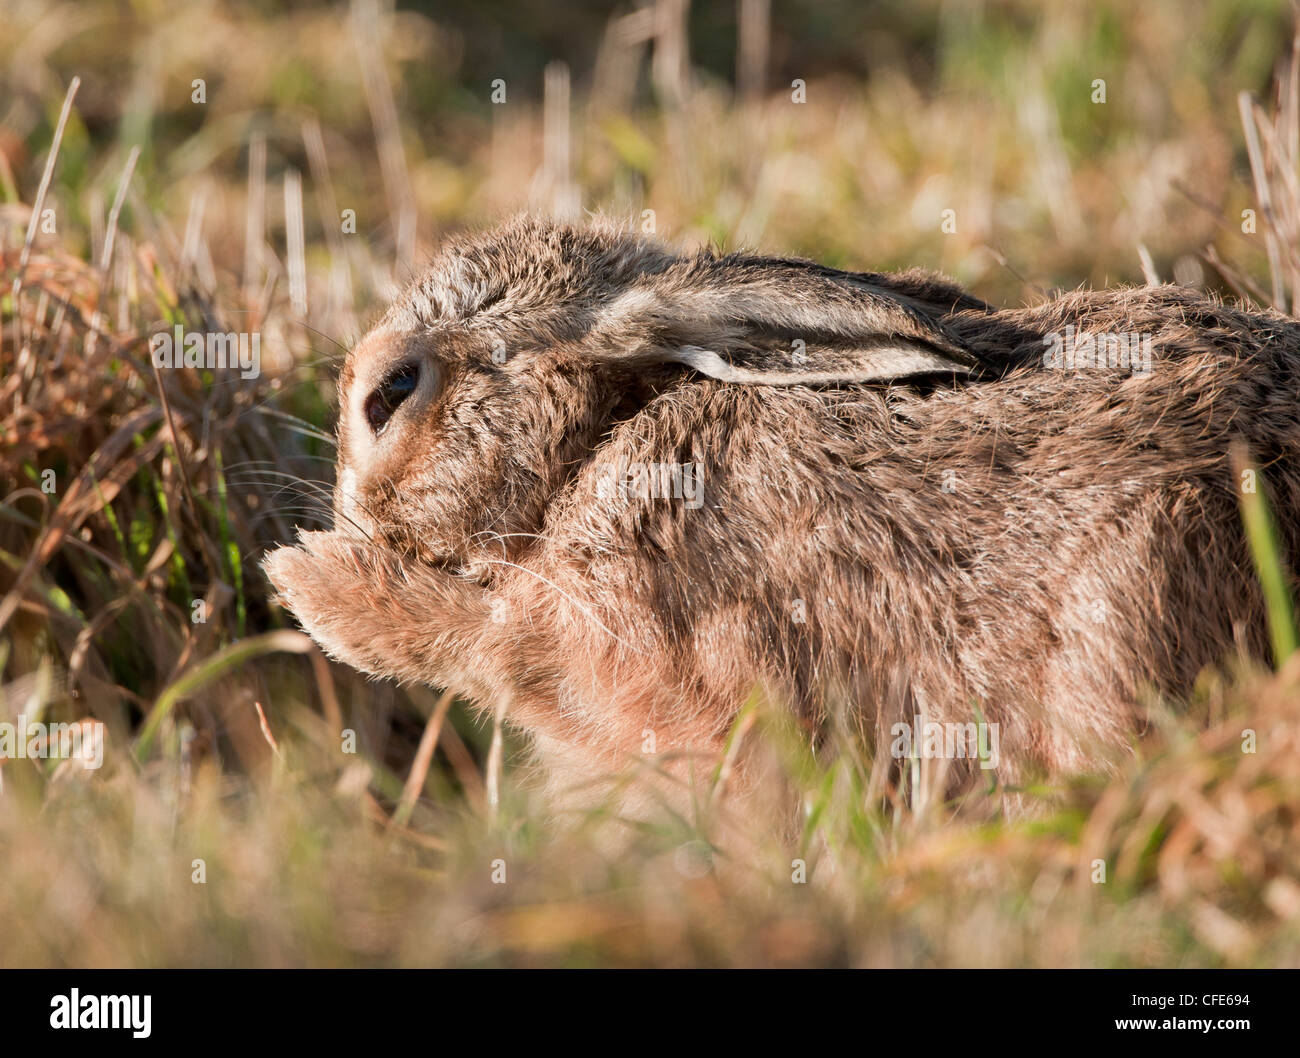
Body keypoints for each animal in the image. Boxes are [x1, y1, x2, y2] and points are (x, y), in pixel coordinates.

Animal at [263, 214, 1300, 828]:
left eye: (392, 392)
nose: (350, 515)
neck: (595, 448)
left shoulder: (636, 659)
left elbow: (486, 644)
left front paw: (310, 578)